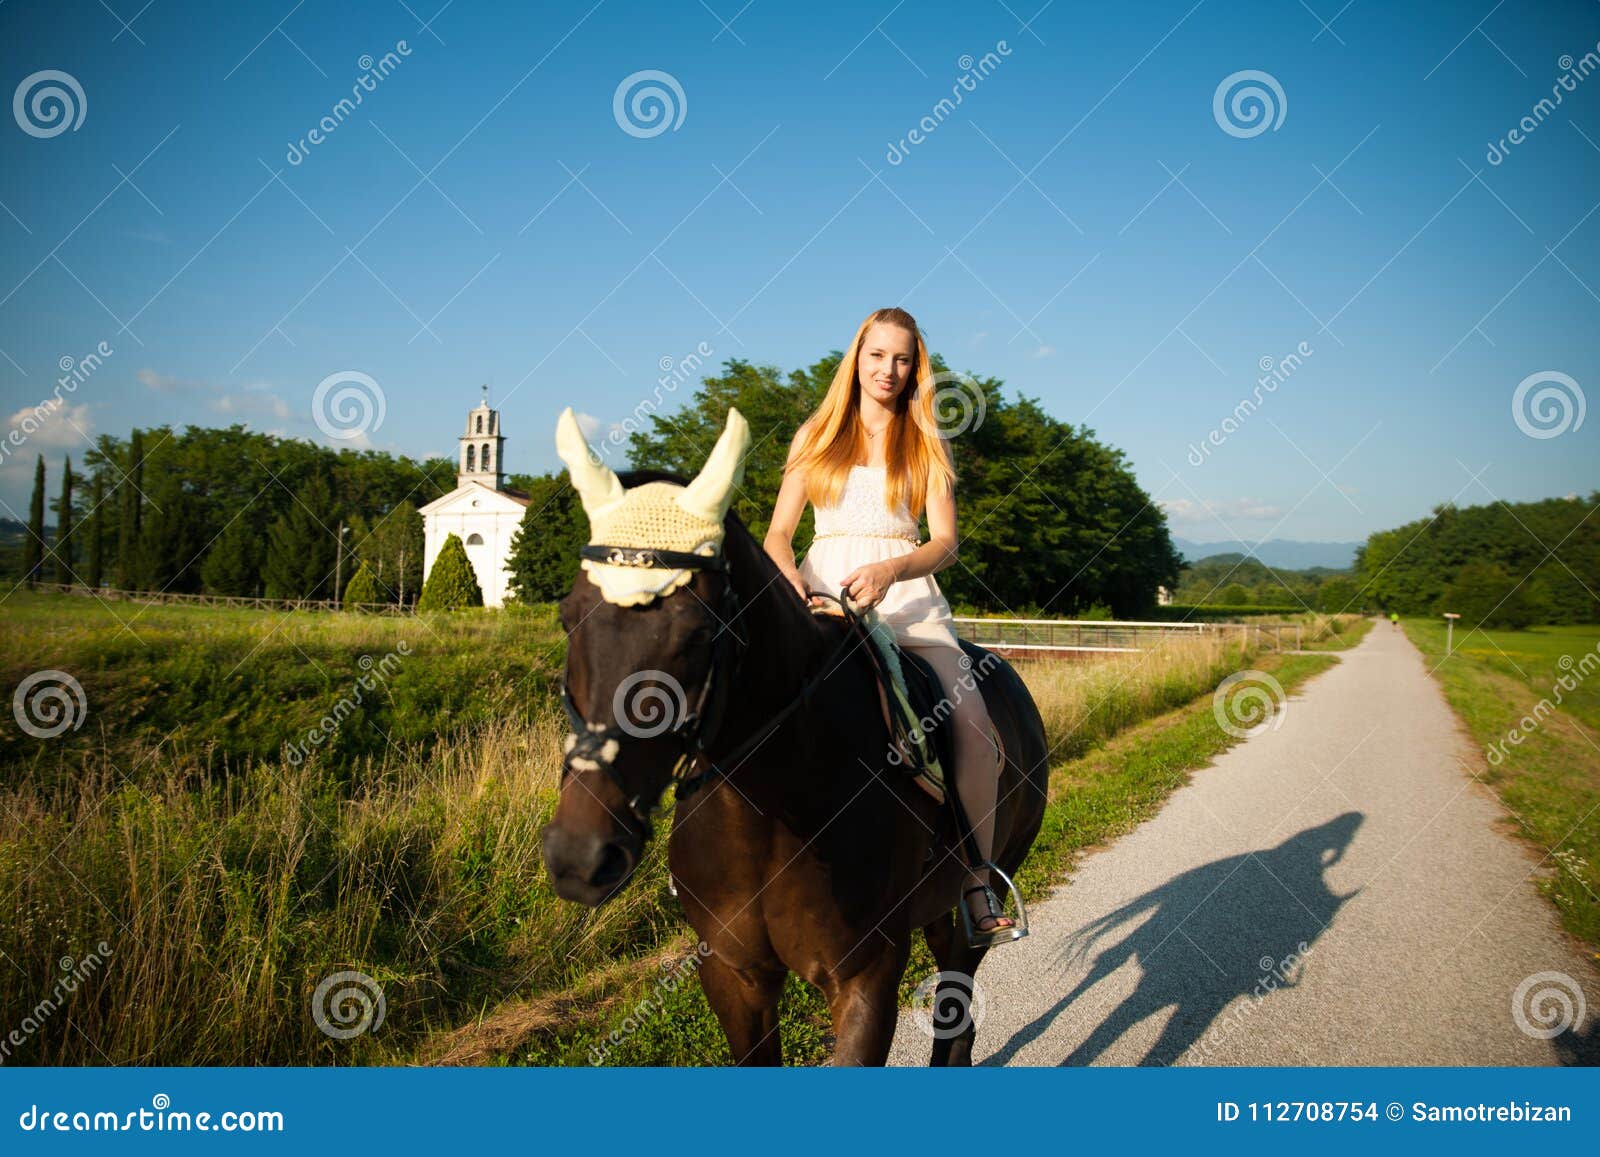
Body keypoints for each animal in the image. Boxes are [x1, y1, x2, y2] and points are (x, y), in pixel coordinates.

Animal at [540, 406, 1049, 1065]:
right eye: (568, 615)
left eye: (699, 630)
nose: (580, 855)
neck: (769, 808)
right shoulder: (734, 976)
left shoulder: (866, 977)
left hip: (969, 913)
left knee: (955, 1020)